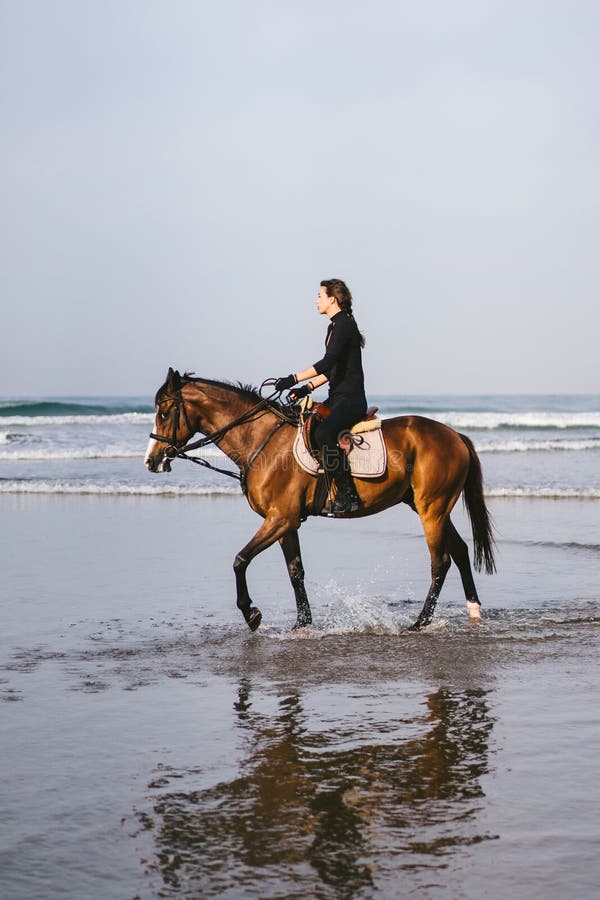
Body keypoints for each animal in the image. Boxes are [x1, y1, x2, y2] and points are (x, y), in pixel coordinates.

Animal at [145, 369, 496, 632]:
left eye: (165, 412)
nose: (152, 460)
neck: (262, 440)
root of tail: (454, 435)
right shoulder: (285, 523)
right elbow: (295, 572)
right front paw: (302, 624)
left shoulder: (280, 518)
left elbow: (240, 560)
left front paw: (251, 614)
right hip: (431, 508)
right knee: (460, 552)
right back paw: (473, 610)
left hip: (431, 510)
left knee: (441, 562)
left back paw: (420, 622)